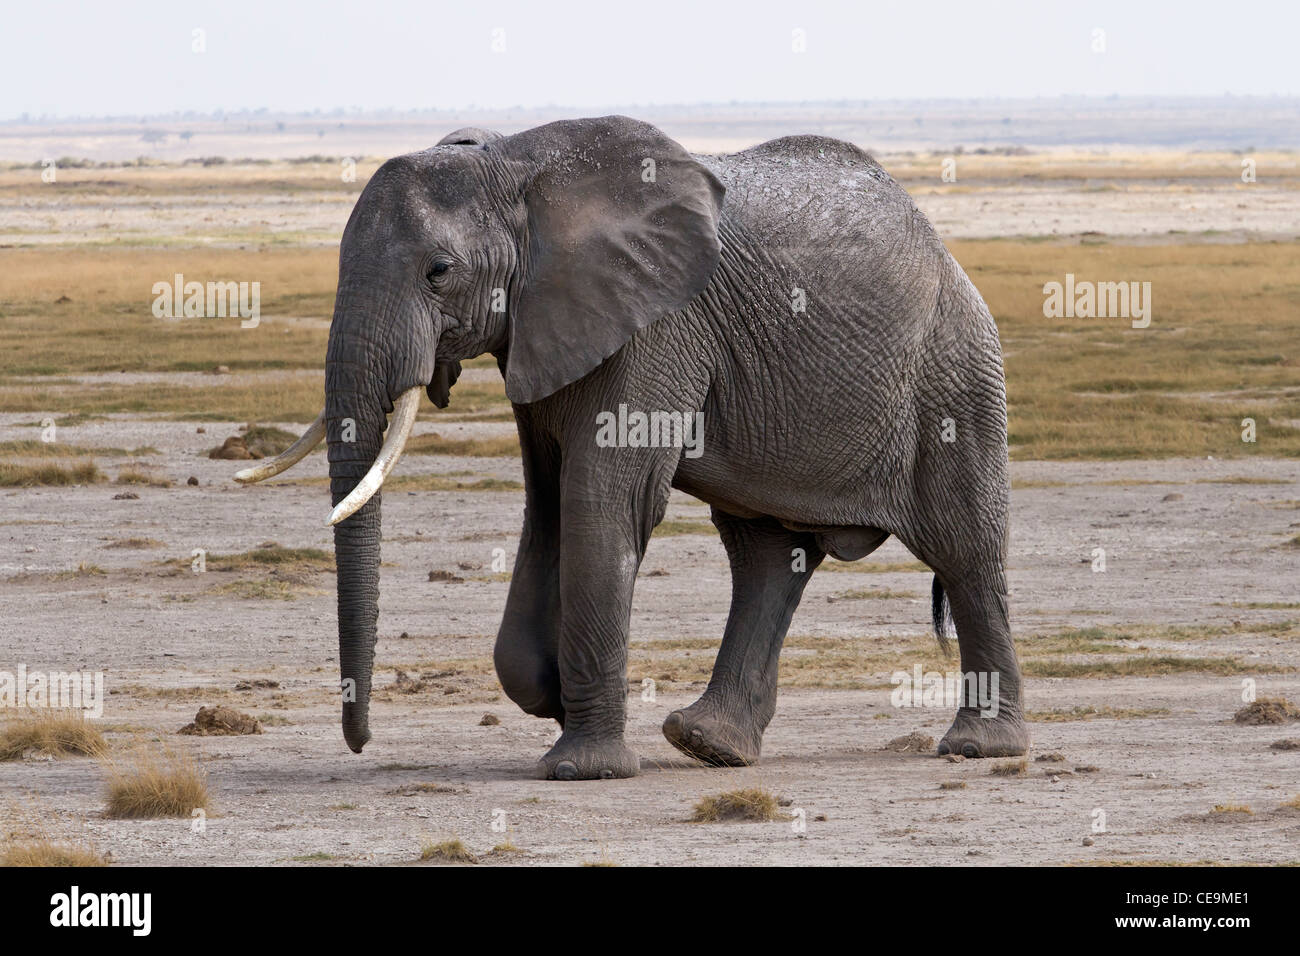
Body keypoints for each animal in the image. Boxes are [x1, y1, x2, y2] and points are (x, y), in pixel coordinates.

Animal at [236, 115, 1028, 780]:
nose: (360, 743)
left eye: (439, 272)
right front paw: (552, 695)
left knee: (965, 550)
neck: (514, 163)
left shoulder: (657, 326)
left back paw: (978, 748)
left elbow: (604, 500)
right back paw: (708, 744)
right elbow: (549, 506)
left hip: (956, 374)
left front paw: (582, 767)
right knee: (768, 558)